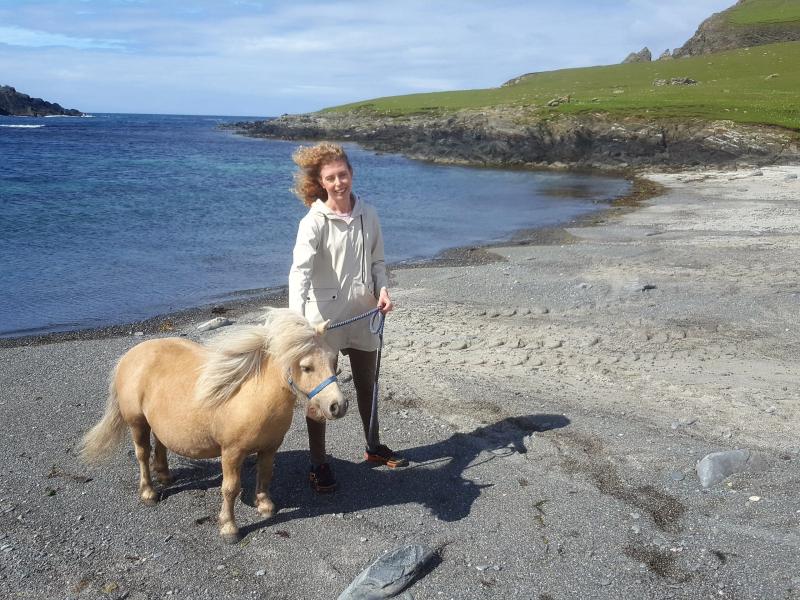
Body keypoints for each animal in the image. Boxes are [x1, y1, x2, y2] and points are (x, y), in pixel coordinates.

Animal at [79, 309, 346, 543]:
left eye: (334, 361)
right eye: (306, 367)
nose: (338, 406)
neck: (254, 394)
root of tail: (130, 356)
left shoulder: (270, 447)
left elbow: (265, 474)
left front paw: (264, 505)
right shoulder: (231, 452)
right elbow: (230, 488)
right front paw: (229, 528)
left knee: (160, 444)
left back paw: (165, 476)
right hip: (137, 422)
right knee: (143, 455)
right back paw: (148, 492)